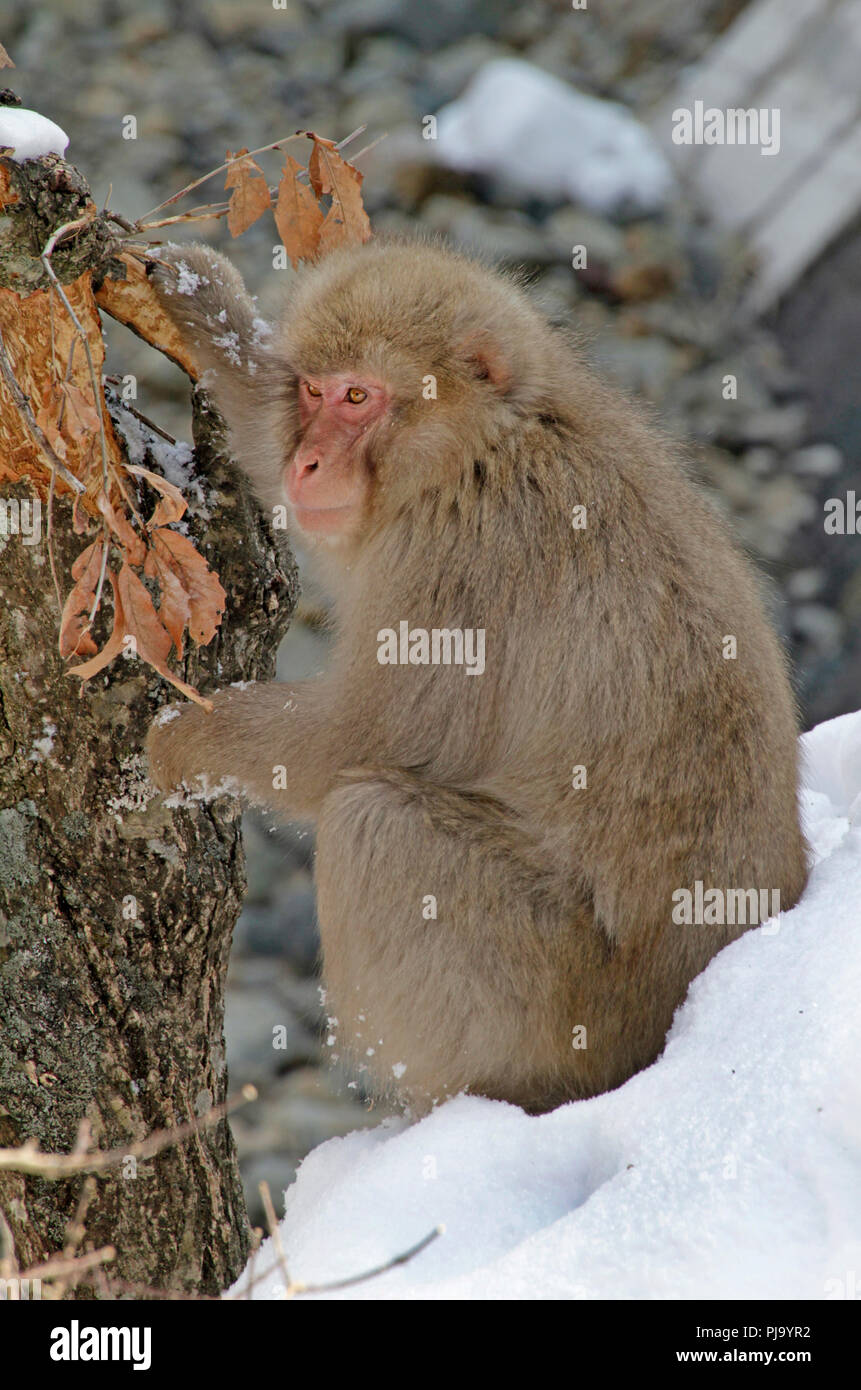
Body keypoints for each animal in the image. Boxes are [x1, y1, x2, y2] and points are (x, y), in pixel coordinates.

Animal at [145, 236, 808, 1115]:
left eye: (359, 396)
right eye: (313, 392)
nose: (307, 463)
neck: (487, 441)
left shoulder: (457, 555)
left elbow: (360, 737)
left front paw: (181, 742)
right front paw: (205, 310)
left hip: (558, 1003)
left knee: (372, 821)